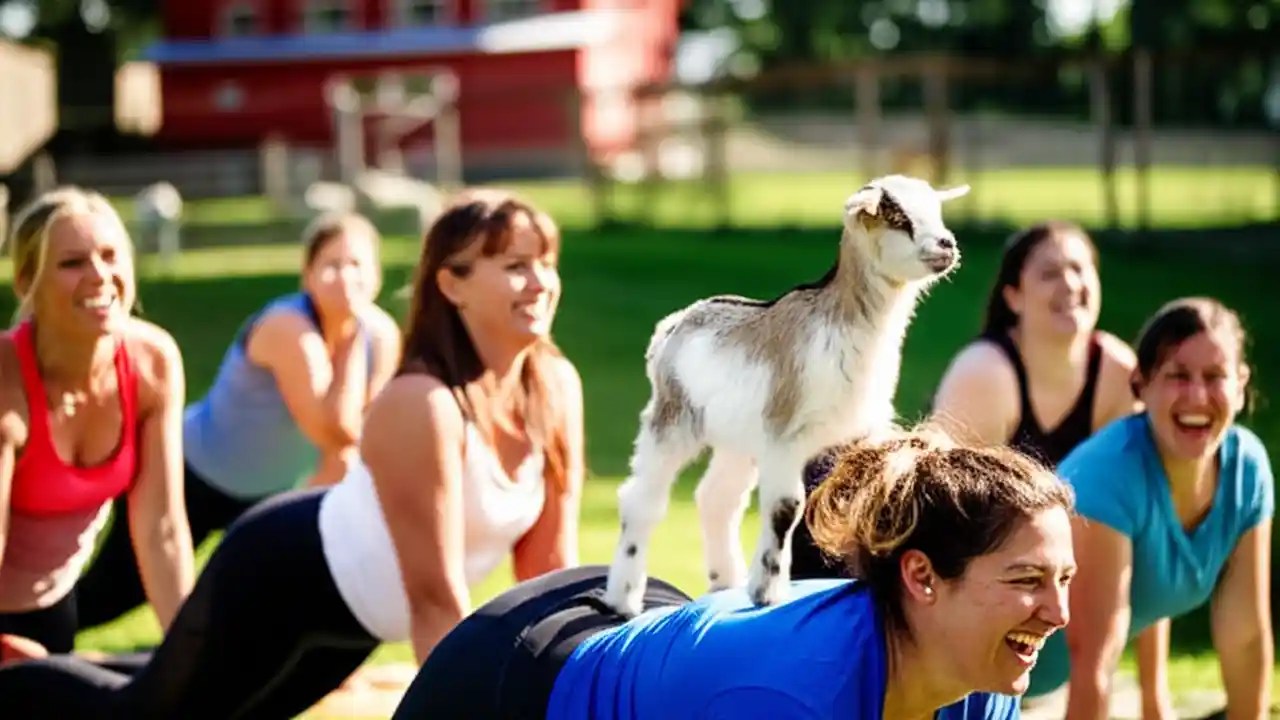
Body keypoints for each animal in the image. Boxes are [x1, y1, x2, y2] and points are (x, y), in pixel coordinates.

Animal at [602, 174, 970, 616]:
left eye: (938, 210)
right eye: (897, 217)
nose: (946, 245)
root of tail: (673, 325)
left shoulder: (863, 433)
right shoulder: (785, 436)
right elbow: (785, 509)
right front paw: (768, 591)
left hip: (739, 439)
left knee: (716, 498)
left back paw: (726, 581)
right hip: (672, 419)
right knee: (642, 499)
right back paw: (623, 597)